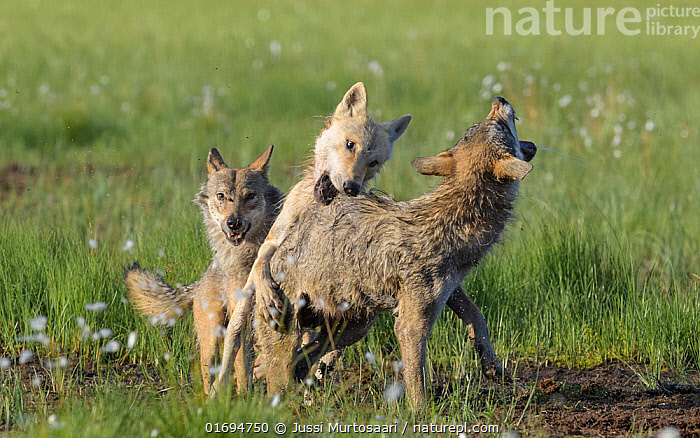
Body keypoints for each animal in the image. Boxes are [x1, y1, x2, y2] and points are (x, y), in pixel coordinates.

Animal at [125, 145, 283, 394]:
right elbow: (241, 366)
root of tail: (199, 282)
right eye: (221, 196)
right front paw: (245, 400)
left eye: (250, 196)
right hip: (211, 340)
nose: (233, 222)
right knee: (210, 373)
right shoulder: (241, 319)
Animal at [213, 82, 412, 392]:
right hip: (244, 310)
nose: (352, 187)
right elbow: (264, 263)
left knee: (316, 349)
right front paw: (269, 295)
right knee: (237, 346)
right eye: (350, 144)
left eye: (374, 162)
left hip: (359, 323)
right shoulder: (272, 243)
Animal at [249, 97, 536, 408]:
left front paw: (494, 367)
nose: (499, 100)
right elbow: (417, 381)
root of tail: (277, 249)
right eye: (499, 125)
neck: (456, 219)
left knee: (301, 362)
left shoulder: (448, 289)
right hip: (301, 332)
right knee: (278, 375)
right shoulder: (411, 324)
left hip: (355, 327)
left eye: (485, 125)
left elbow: (477, 316)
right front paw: (422, 412)